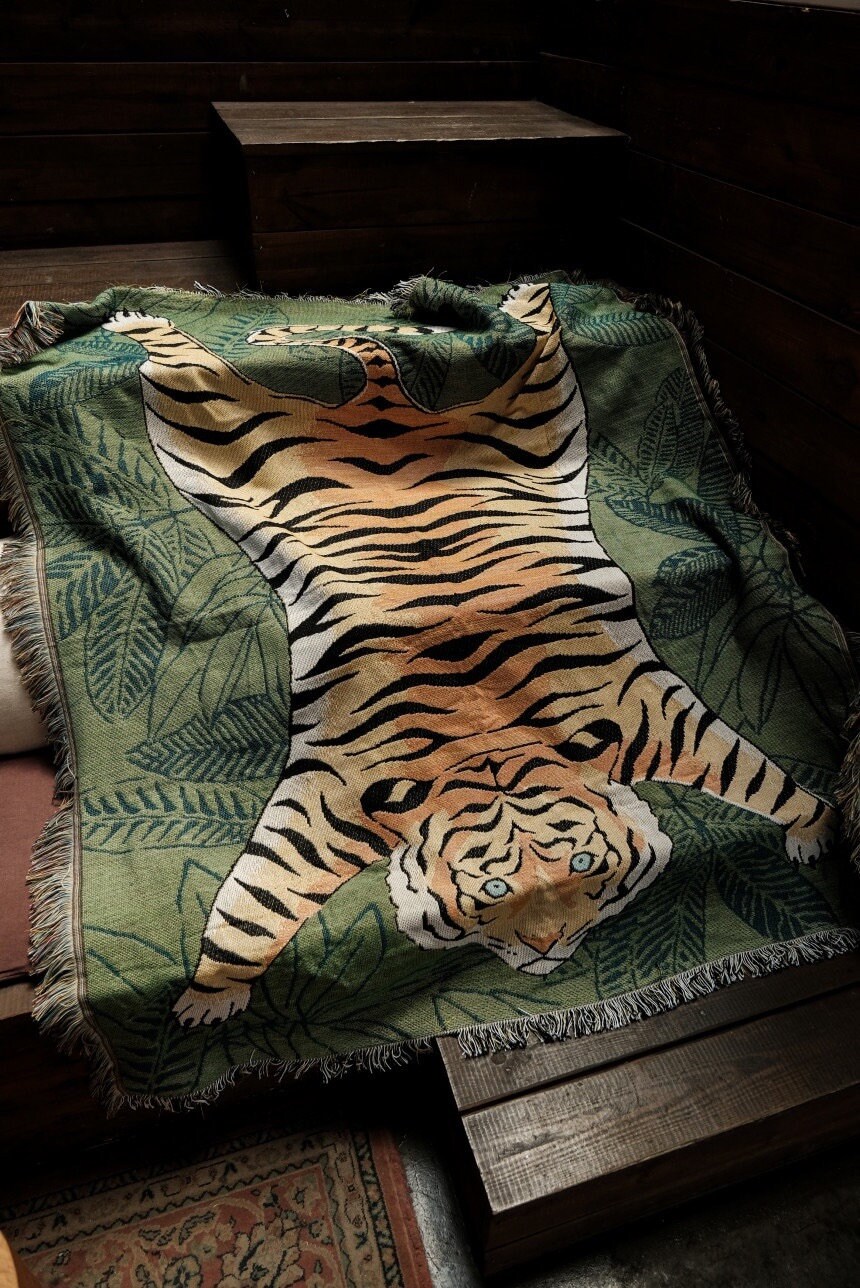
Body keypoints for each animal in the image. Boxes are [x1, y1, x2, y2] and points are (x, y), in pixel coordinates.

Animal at [103, 282, 836, 1026]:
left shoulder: (657, 720)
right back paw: (139, 320)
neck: (492, 738)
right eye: (491, 891)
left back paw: (520, 298)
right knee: (190, 368)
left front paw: (814, 831)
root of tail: (384, 408)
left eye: (584, 869)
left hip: (533, 419)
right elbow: (254, 904)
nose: (548, 952)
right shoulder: (324, 804)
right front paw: (208, 1000)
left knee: (542, 342)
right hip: (218, 435)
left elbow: (757, 776)